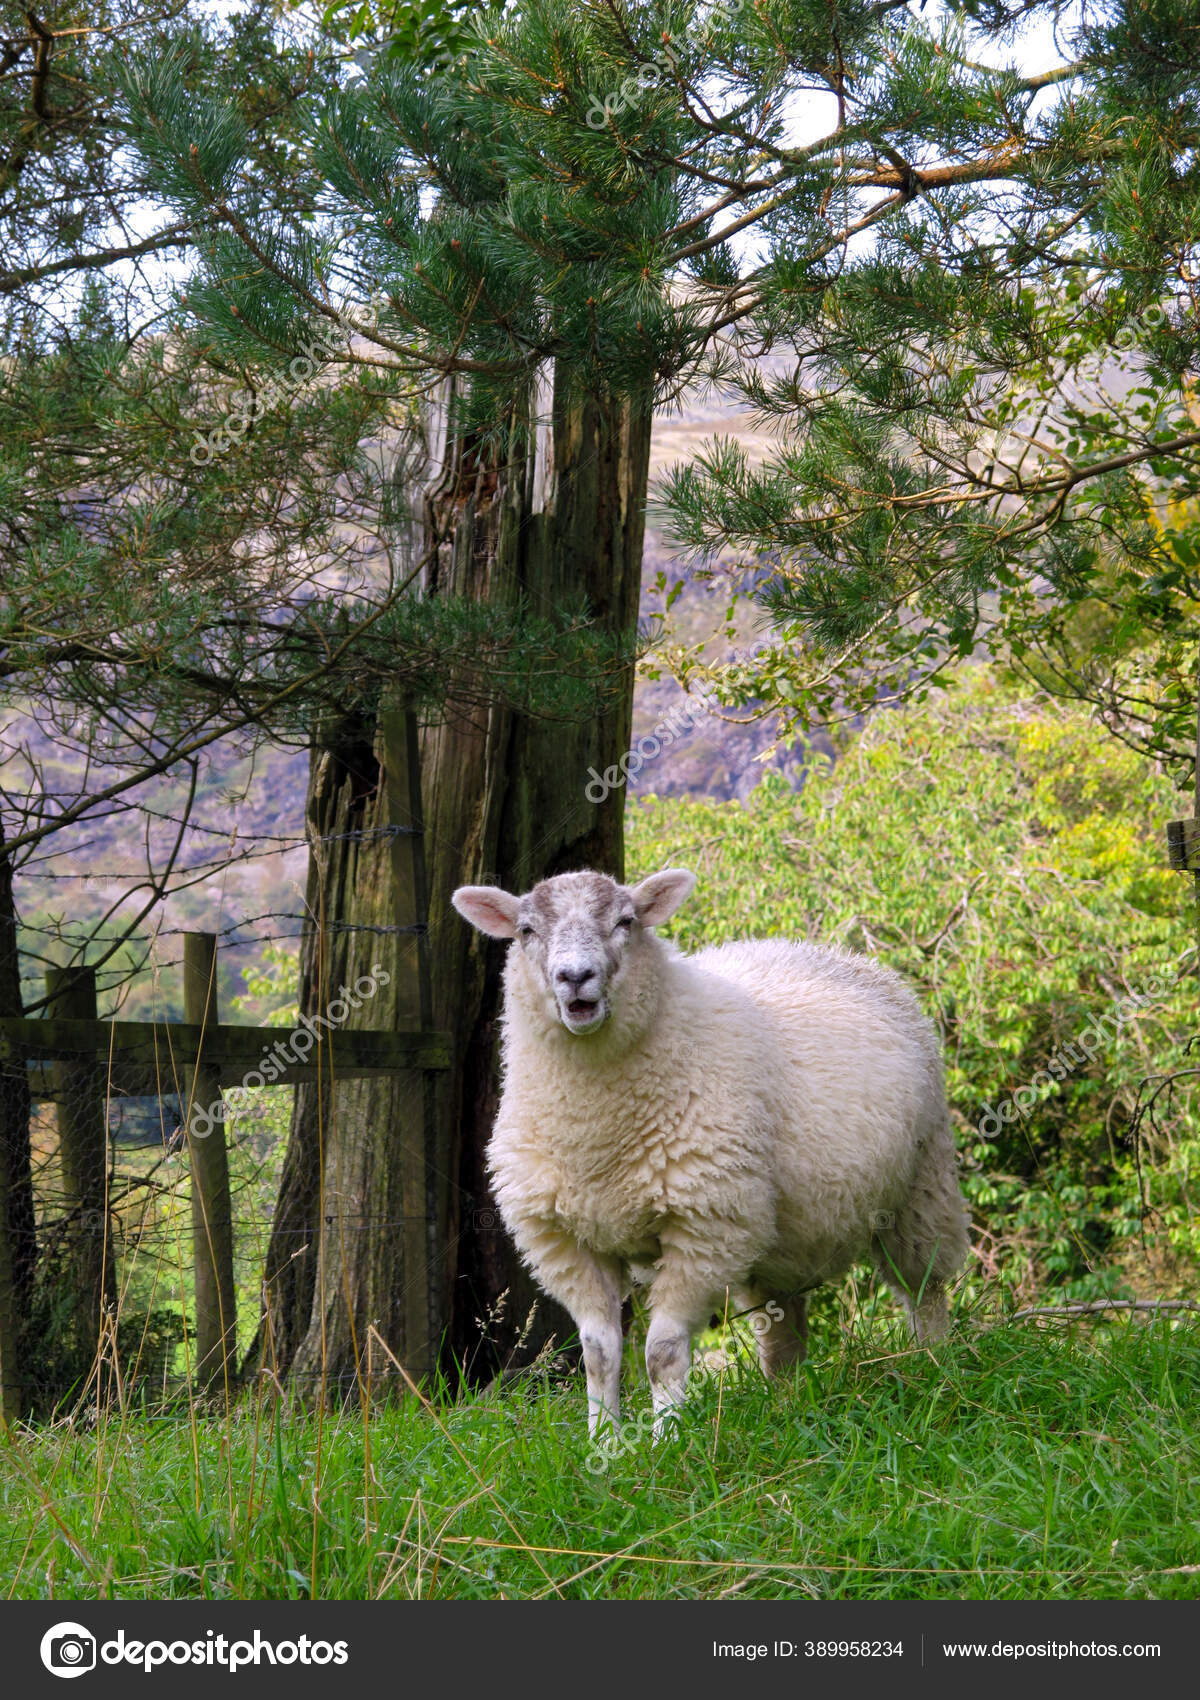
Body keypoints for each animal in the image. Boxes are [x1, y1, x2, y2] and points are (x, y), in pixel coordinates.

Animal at [451, 867, 970, 1436]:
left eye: (626, 921)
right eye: (526, 930)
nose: (575, 976)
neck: (597, 1137)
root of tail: (831, 954)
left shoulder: (704, 1227)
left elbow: (663, 1352)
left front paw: (665, 1440)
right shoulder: (565, 1240)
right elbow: (599, 1353)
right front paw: (604, 1443)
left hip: (921, 1187)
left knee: (924, 1290)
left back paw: (934, 1367)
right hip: (782, 1241)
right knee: (782, 1328)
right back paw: (787, 1401)